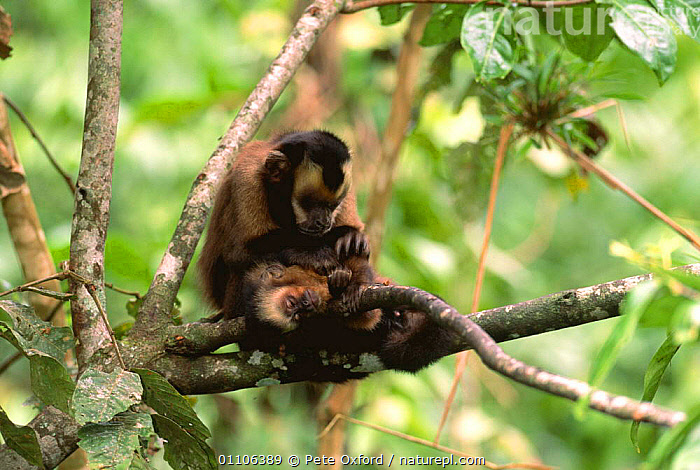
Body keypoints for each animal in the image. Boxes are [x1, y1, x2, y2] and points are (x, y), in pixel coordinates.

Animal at [198, 130, 373, 322]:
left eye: (333, 206)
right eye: (309, 204)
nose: (324, 222)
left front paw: (350, 238)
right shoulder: (246, 178)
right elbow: (237, 254)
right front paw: (312, 254)